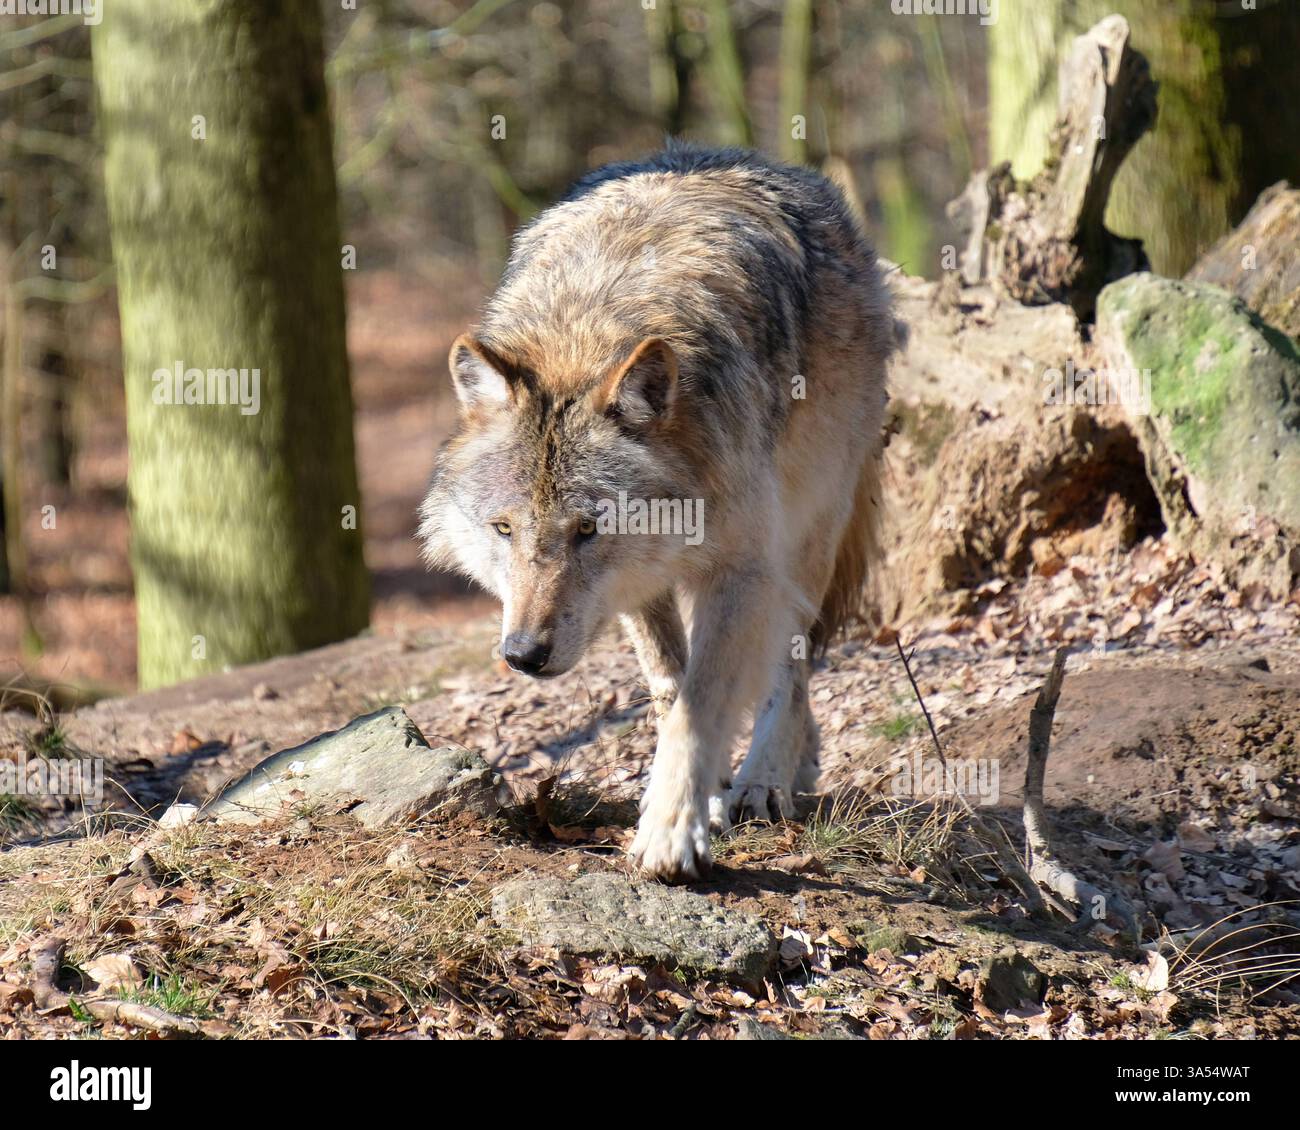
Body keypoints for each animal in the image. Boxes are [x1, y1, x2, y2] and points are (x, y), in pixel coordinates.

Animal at [420, 143, 895, 882]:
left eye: (589, 529)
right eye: (503, 529)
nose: (522, 654)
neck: (587, 329)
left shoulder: (740, 570)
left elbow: (702, 704)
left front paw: (672, 833)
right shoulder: (641, 585)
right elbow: (674, 692)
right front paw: (699, 804)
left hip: (807, 531)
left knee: (791, 668)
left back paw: (764, 779)